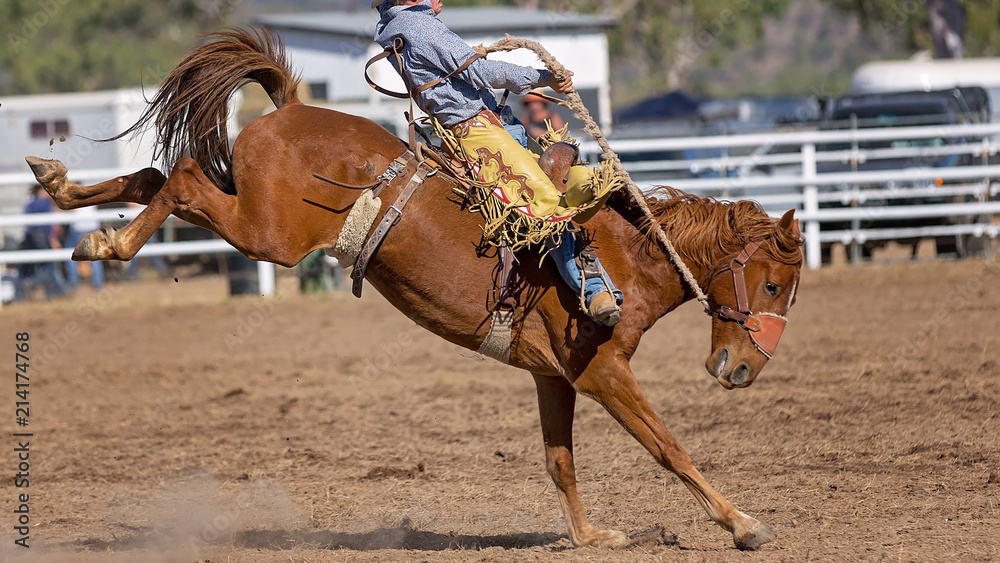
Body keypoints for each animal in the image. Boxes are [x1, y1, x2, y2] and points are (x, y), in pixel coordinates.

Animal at [25, 28, 803, 550]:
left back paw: (65, 194)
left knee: (156, 175)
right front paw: (743, 523)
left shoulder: (555, 376)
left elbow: (560, 461)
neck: (623, 256)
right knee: (181, 176)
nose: (741, 368)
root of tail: (293, 106)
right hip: (266, 231)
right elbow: (670, 447)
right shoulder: (602, 369)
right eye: (770, 281)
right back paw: (106, 241)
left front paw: (590, 536)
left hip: (248, 207)